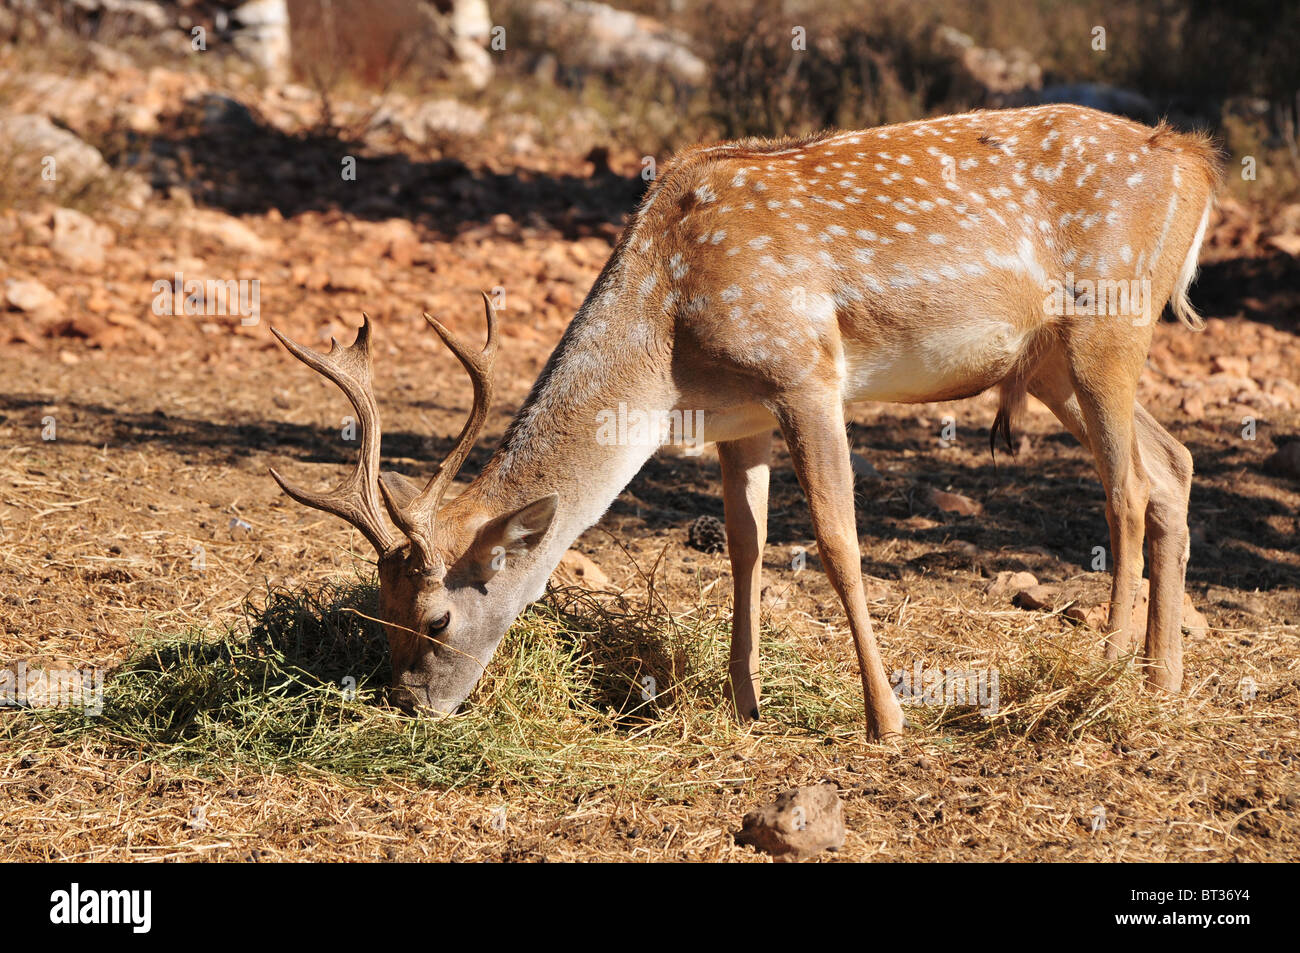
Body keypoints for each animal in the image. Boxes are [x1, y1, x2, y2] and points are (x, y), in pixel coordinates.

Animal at [269, 104, 1221, 741]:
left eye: (434, 619)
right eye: (379, 611)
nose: (406, 702)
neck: (669, 351)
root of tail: (1196, 159)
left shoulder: (804, 370)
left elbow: (837, 541)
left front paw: (885, 719)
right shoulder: (738, 418)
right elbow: (745, 547)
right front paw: (743, 702)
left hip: (1108, 322)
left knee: (1126, 489)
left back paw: (1104, 670)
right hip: (1053, 360)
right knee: (1172, 464)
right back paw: (1162, 682)